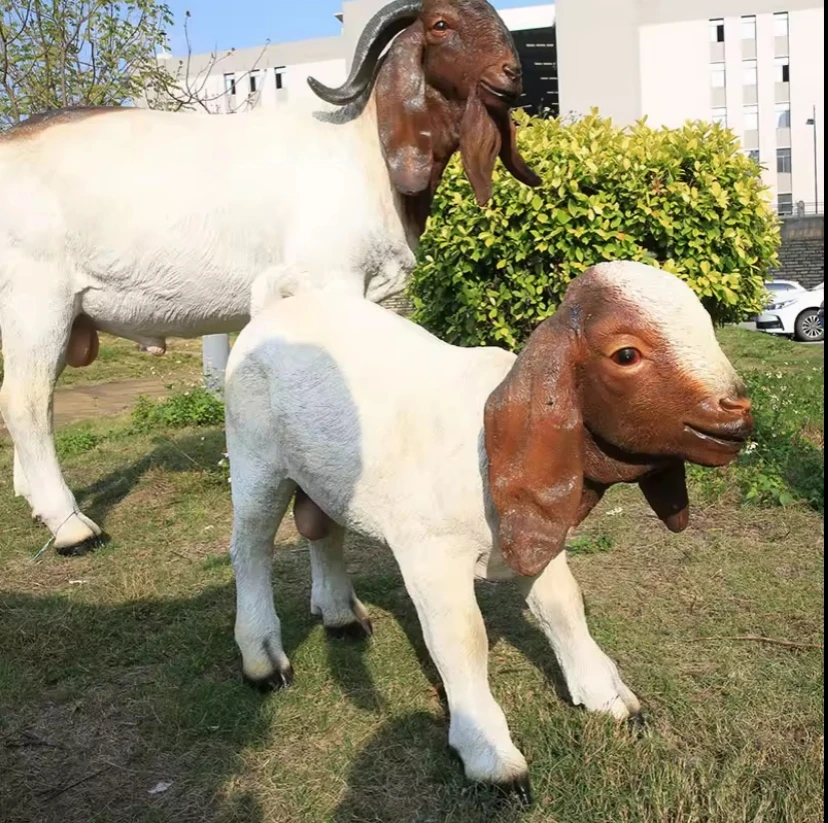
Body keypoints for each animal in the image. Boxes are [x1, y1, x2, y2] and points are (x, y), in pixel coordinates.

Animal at [0, 0, 539, 555]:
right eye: (440, 24)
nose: (511, 74)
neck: (362, 144)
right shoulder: (329, 278)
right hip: (36, 298)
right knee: (25, 401)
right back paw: (68, 524)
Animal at [224, 261, 754, 802]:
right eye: (626, 354)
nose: (737, 409)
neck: (486, 438)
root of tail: (277, 306)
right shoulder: (431, 555)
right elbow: (462, 639)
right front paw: (491, 756)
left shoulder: (535, 532)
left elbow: (563, 607)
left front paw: (607, 696)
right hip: (254, 457)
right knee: (250, 547)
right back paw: (264, 659)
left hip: (325, 471)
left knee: (324, 530)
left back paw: (340, 616)